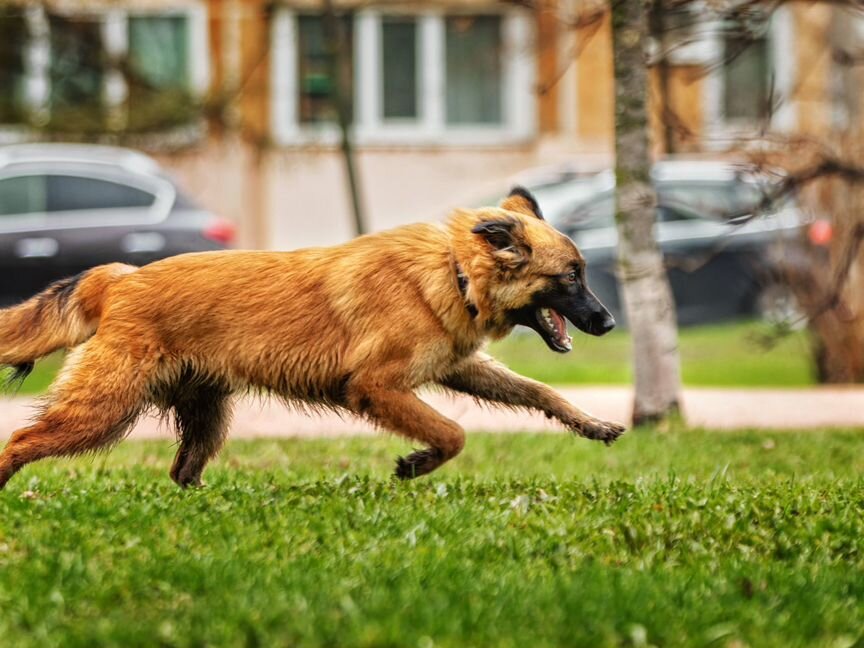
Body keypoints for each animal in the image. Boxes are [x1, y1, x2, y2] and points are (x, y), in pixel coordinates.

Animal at [0, 189, 624, 492]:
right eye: (572, 277)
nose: (610, 323)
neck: (455, 272)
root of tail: (120, 277)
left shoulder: (456, 367)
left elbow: (541, 392)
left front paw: (591, 423)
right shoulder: (376, 386)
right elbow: (453, 433)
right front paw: (417, 465)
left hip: (207, 417)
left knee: (183, 472)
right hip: (104, 409)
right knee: (20, 441)